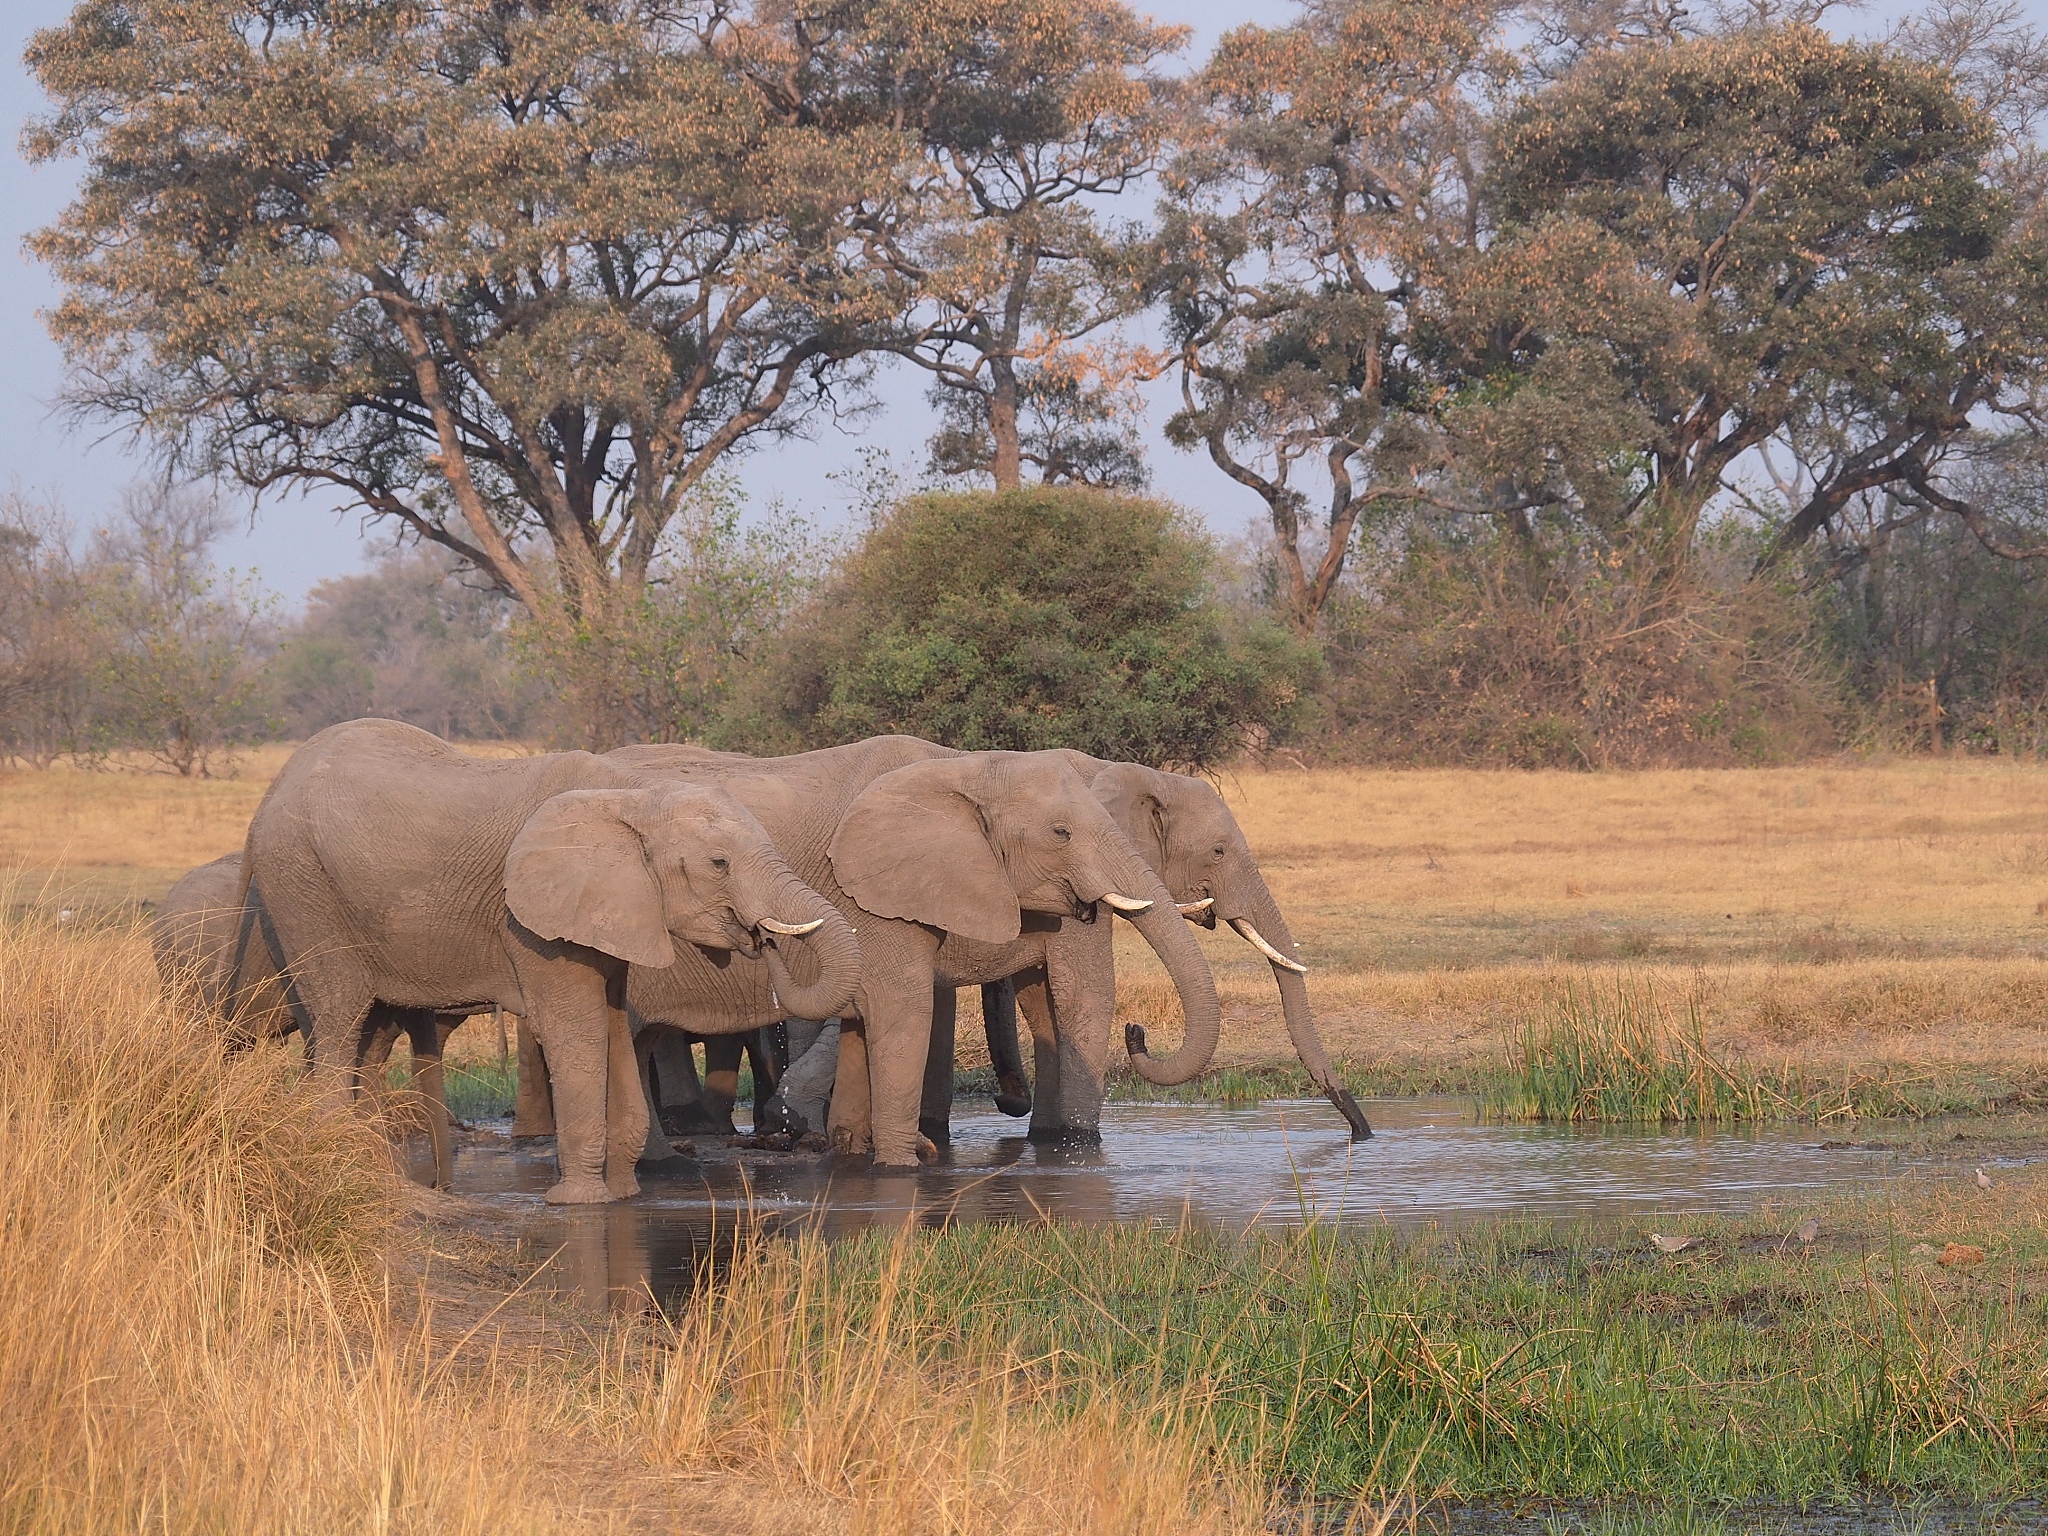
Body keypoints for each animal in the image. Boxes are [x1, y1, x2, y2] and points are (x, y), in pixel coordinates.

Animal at [231, 719, 861, 1203]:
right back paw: (345, 1155)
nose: (763, 939)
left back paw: (376, 1170)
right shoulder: (533, 921)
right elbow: (575, 1029)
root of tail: (268, 796)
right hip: (302, 887)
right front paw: (578, 1202)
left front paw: (624, 1194)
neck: (632, 796)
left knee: (366, 1033)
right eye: (718, 863)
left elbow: (612, 1023)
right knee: (340, 1014)